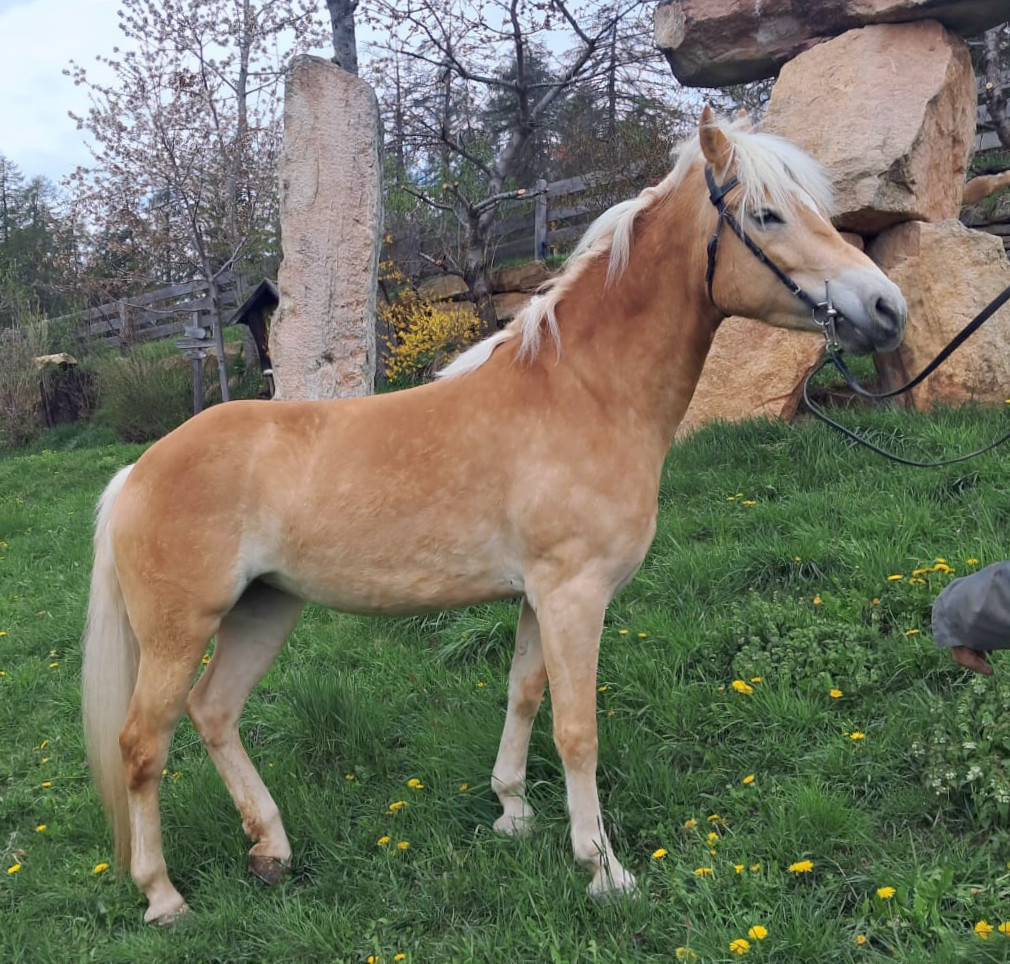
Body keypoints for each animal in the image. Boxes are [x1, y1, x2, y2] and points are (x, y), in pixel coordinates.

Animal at [81, 106, 907, 924]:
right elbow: (577, 732)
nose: (887, 308)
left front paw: (513, 813)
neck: (582, 393)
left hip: (265, 609)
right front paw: (603, 868)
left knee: (213, 713)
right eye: (767, 214)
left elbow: (524, 695)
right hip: (180, 632)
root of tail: (136, 473)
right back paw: (163, 895)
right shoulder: (575, 596)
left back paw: (271, 849)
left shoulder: (540, 598)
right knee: (142, 744)